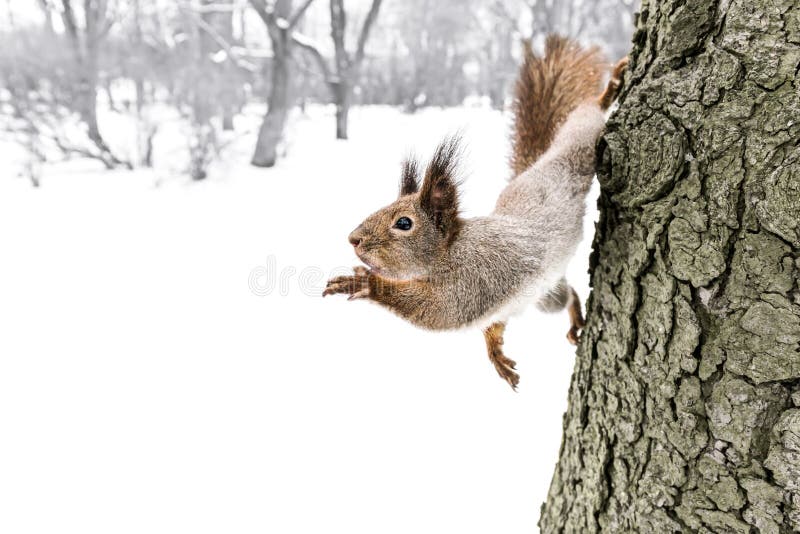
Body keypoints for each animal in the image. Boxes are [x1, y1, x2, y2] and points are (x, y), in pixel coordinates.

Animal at [323, 35, 628, 390]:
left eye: (404, 223)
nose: (353, 239)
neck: (451, 250)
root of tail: (533, 170)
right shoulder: (496, 302)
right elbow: (490, 324)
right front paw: (494, 350)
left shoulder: (478, 277)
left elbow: (441, 312)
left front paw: (367, 283)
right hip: (543, 297)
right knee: (567, 296)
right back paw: (575, 313)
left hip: (572, 159)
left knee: (579, 131)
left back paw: (607, 94)